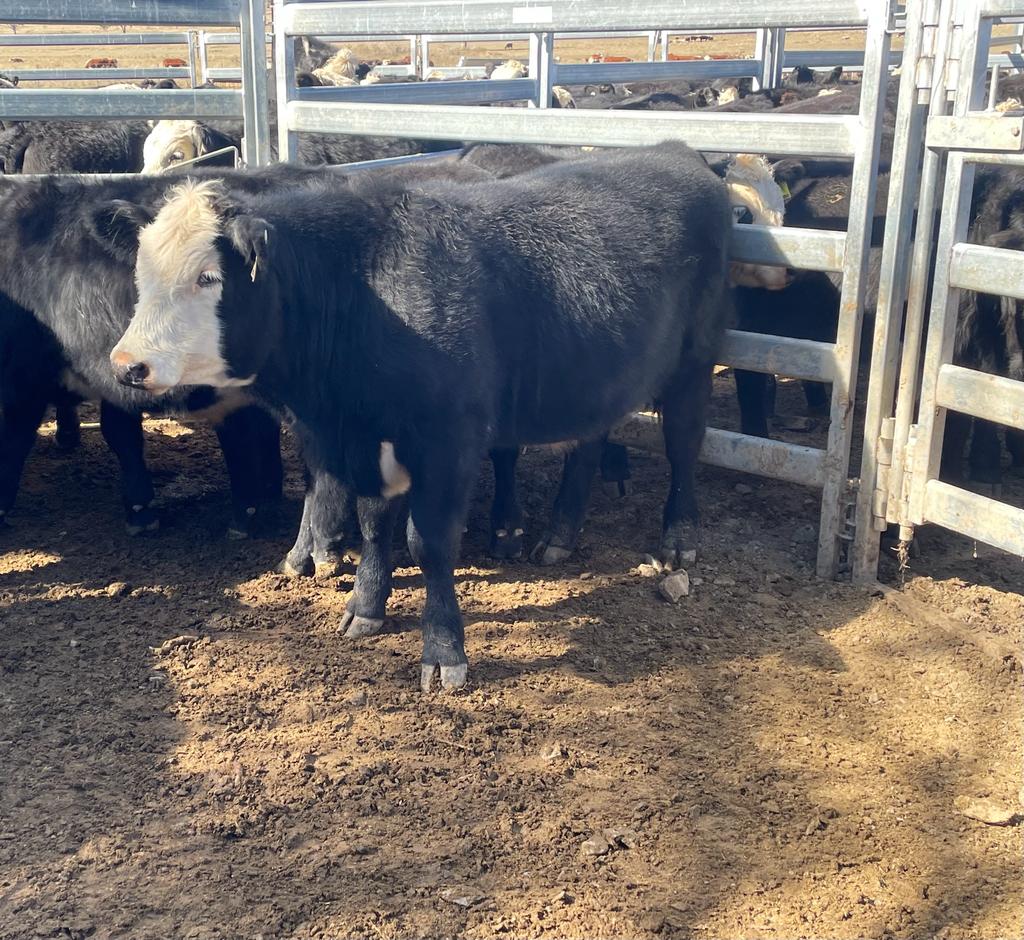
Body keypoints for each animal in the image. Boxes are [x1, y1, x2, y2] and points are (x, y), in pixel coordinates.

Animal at [108, 142, 736, 689]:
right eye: (142, 275)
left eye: (209, 277)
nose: (126, 364)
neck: (365, 292)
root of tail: (676, 150)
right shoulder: (365, 440)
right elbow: (372, 525)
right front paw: (365, 607)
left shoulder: (449, 442)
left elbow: (427, 543)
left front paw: (443, 652)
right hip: (597, 376)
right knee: (587, 445)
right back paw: (560, 535)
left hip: (695, 361)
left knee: (684, 445)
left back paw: (679, 539)